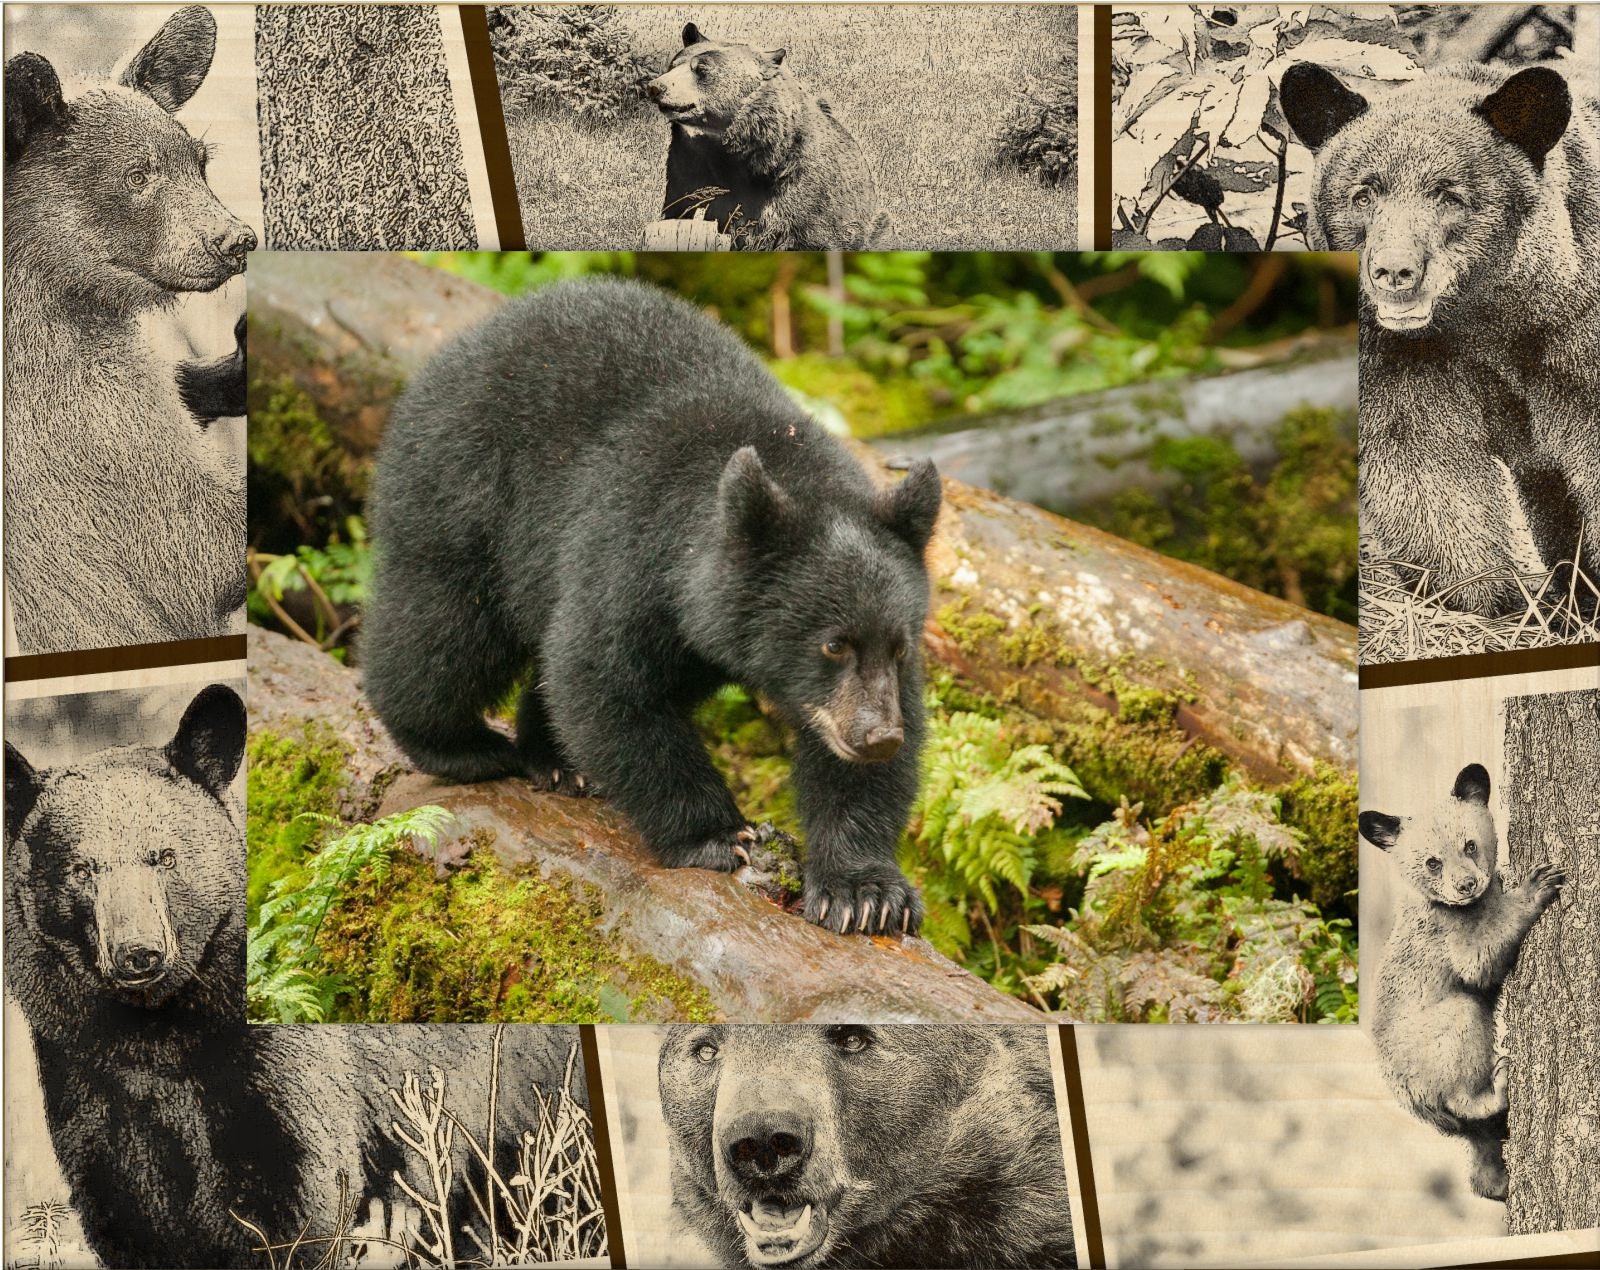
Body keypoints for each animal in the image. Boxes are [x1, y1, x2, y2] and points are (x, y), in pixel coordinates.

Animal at [4, 682, 581, 1267]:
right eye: (81, 870)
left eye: (164, 857)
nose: (138, 953)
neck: (157, 1042)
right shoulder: (89, 1085)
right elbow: (128, 1216)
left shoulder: (280, 1085)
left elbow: (306, 1205)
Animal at [361, 278, 941, 937]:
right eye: (833, 642)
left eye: (898, 645)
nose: (876, 738)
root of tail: (461, 343)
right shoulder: (630, 553)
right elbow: (605, 681)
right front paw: (716, 834)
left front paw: (866, 892)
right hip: (463, 503)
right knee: (444, 636)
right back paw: (459, 745)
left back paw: (555, 757)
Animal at [644, 23, 887, 249]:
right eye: (673, 64)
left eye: (702, 69)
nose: (655, 87)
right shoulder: (688, 164)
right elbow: (681, 206)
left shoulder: (800, 189)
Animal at [1279, 61, 1600, 617]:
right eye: (1364, 194)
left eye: (1449, 196)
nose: (1394, 271)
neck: (1486, 323)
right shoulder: (1404, 354)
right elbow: (1419, 456)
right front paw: (1487, 596)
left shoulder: (1574, 338)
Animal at [1360, 763, 1566, 1200]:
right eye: (1432, 862)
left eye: (1470, 845)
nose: (1466, 886)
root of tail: (1417, 1106)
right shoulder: (1448, 934)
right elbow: (1478, 960)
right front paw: (1536, 886)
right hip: (1440, 1042)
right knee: (1461, 1069)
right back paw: (1498, 1087)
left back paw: (1496, 1179)